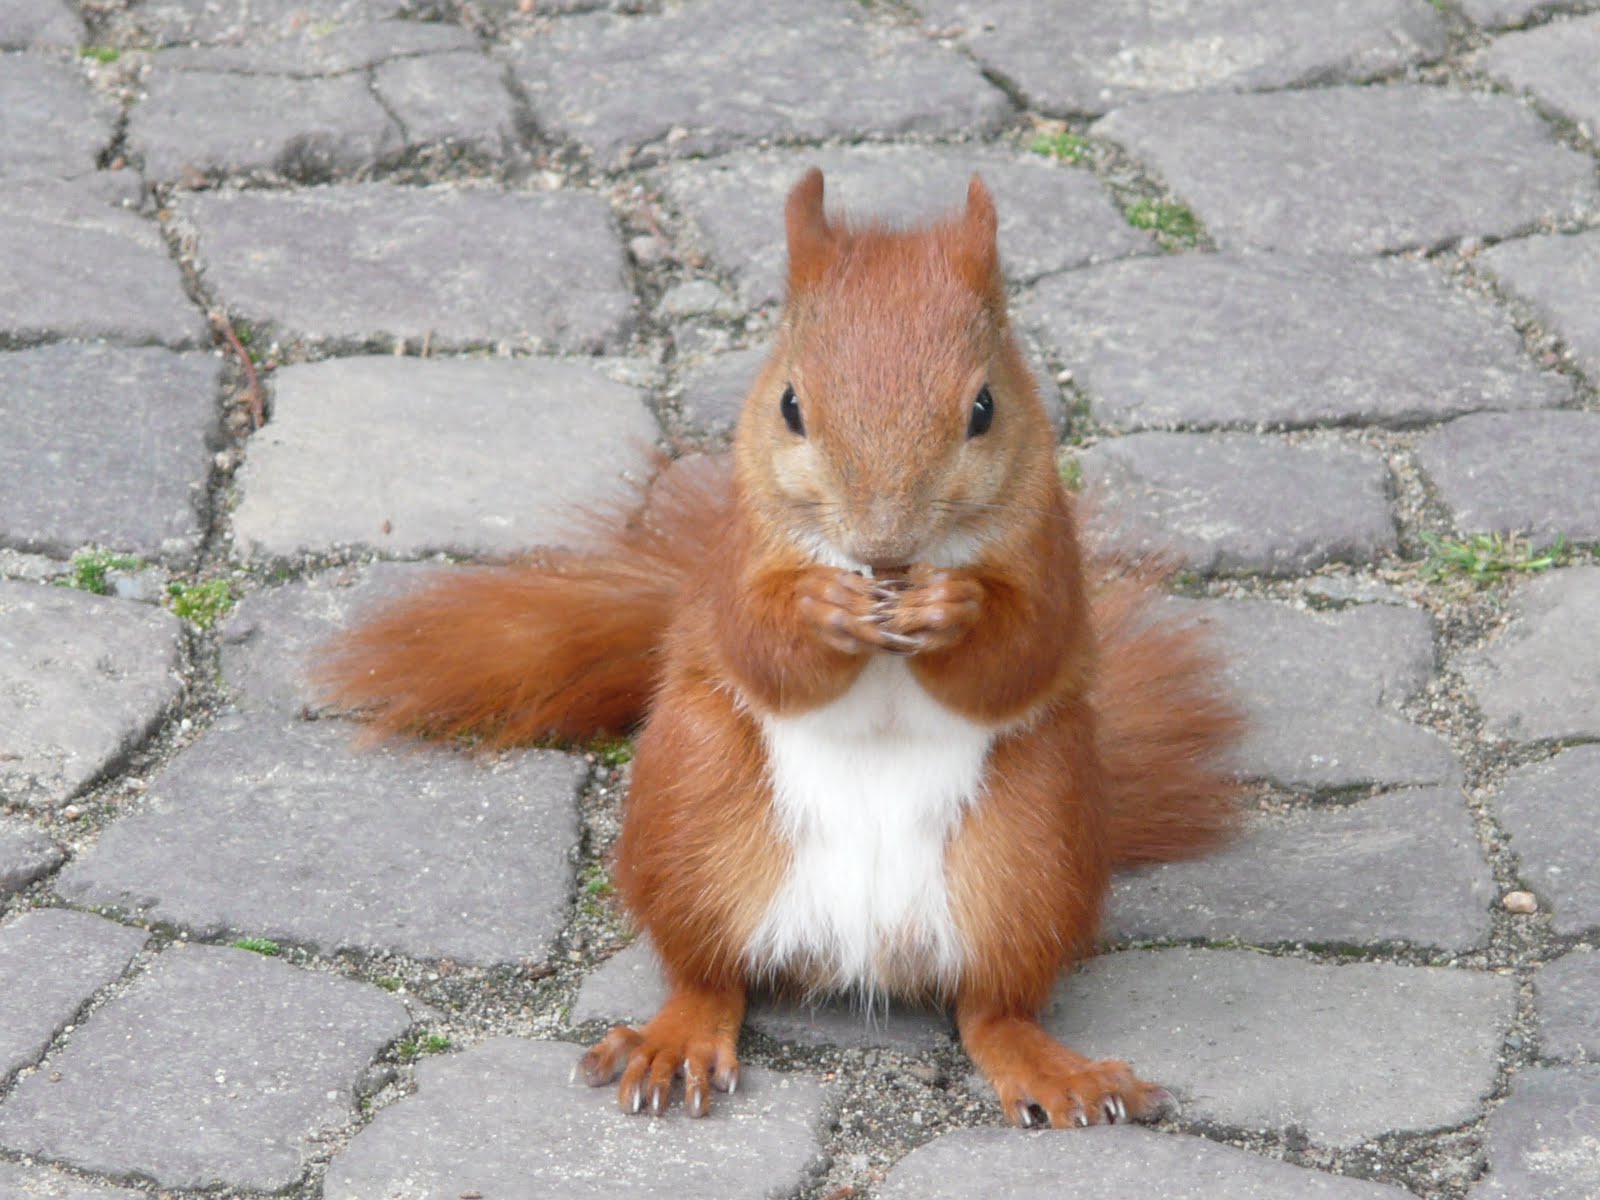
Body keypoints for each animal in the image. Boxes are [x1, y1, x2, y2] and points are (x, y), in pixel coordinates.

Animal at [317, 168, 1241, 1129]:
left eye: (985, 408)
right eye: (792, 405)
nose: (883, 545)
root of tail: (863, 952)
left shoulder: (1052, 556)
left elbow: (1021, 649)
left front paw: (956, 606)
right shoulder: (731, 560)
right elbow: (757, 643)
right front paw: (818, 610)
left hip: (1032, 853)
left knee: (992, 1006)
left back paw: (1053, 1071)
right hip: (693, 816)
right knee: (709, 974)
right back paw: (677, 1040)